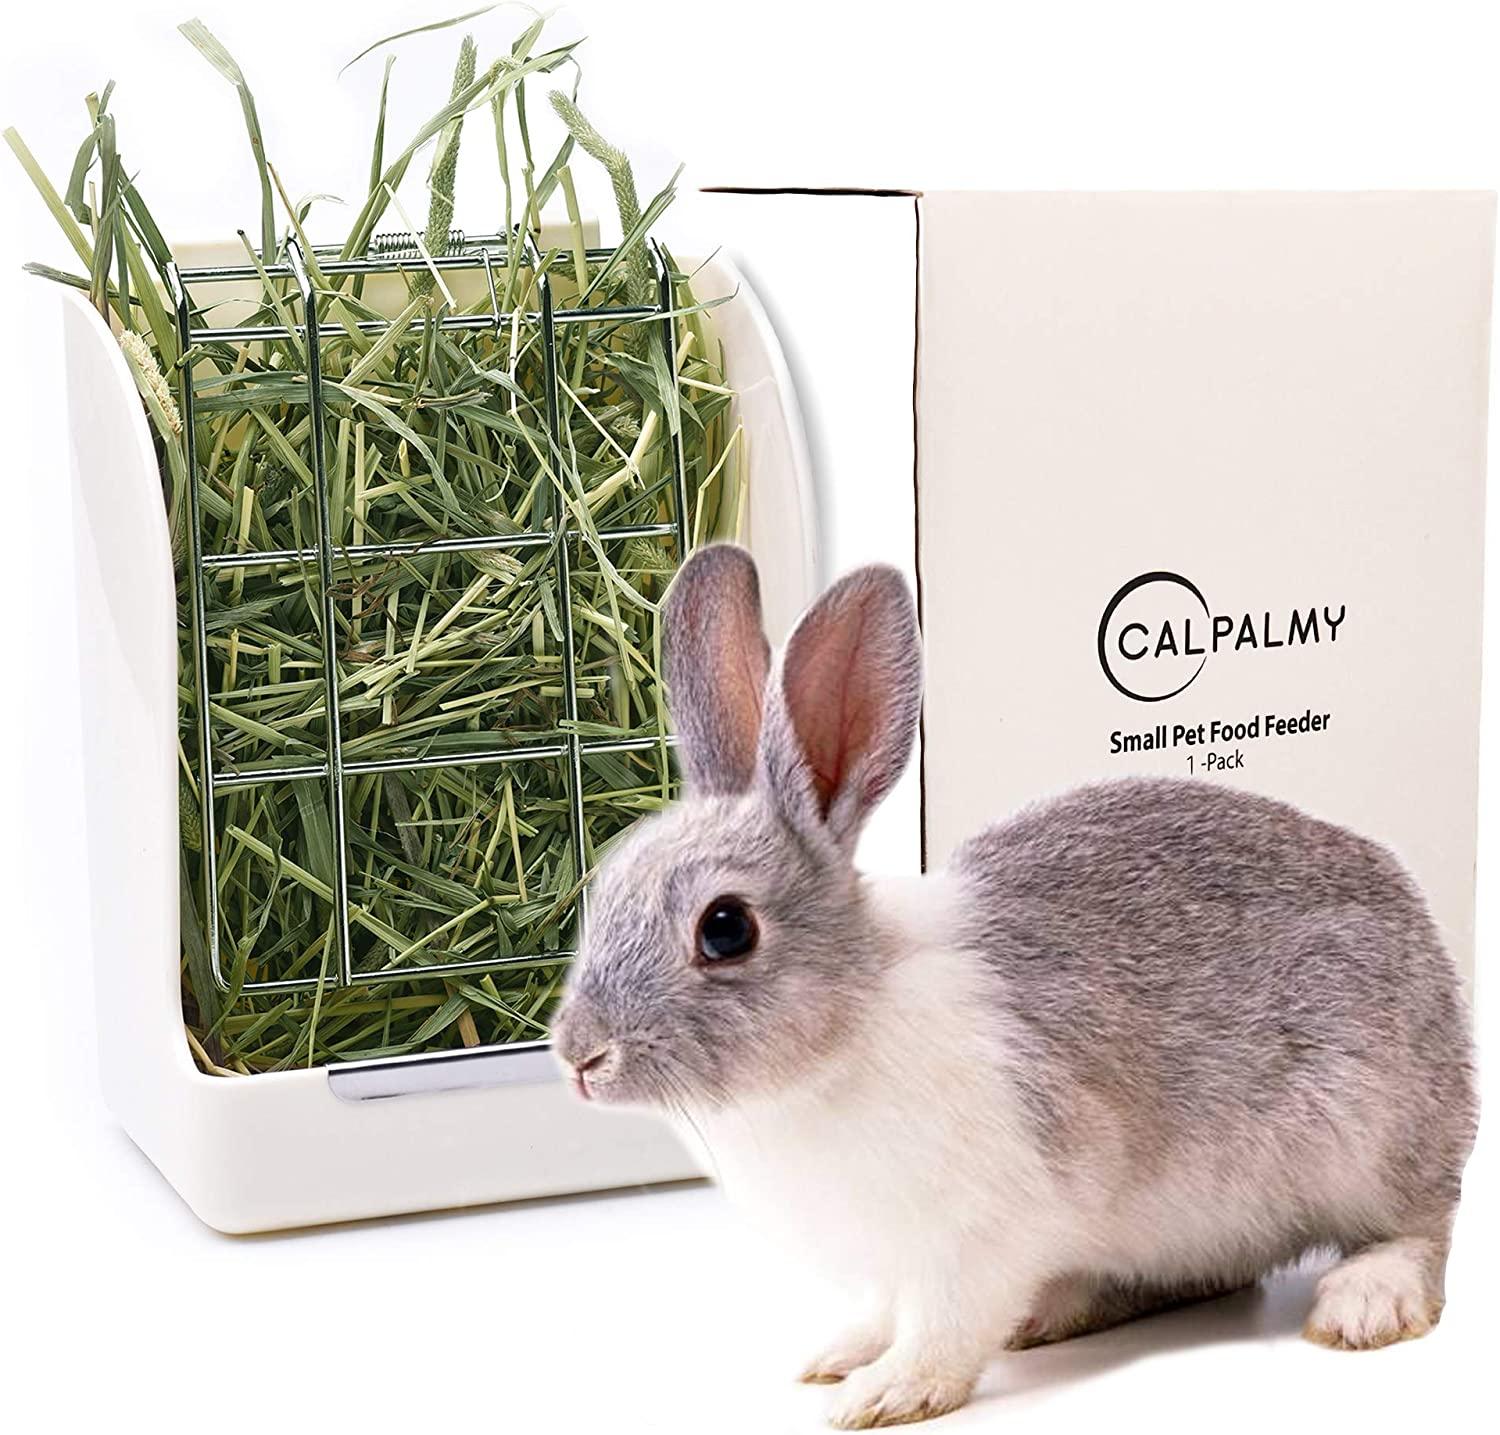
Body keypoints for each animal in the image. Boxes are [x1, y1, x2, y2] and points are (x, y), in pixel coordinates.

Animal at [552, 543, 1477, 1429]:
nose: (577, 1056)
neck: (845, 1030)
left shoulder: (978, 1234)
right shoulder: (897, 1260)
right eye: (607, 884)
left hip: (1367, 1136)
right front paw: (841, 1353)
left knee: (1423, 1227)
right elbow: (885, 1311)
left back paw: (1364, 1302)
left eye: (725, 928)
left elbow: (944, 1329)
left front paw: (884, 1395)